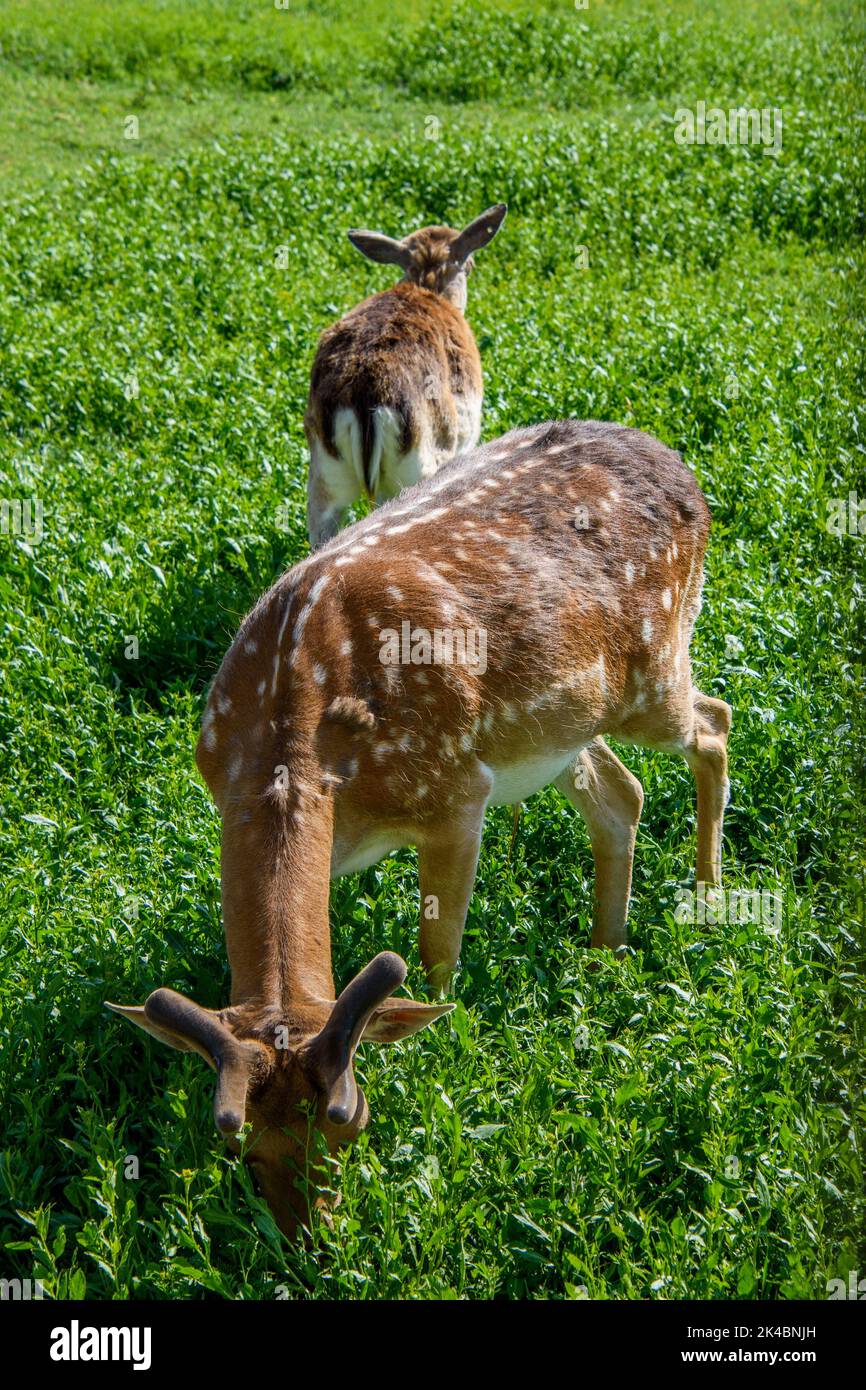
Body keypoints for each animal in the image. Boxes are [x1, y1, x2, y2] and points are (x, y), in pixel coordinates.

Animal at [107, 418, 731, 1239]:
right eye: (236, 1145)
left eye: (351, 1120)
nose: (310, 1241)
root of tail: (680, 467)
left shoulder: (457, 794)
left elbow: (437, 961)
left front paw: (451, 1055)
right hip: (562, 728)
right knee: (621, 796)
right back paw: (605, 952)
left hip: (656, 669)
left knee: (716, 724)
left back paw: (708, 903)